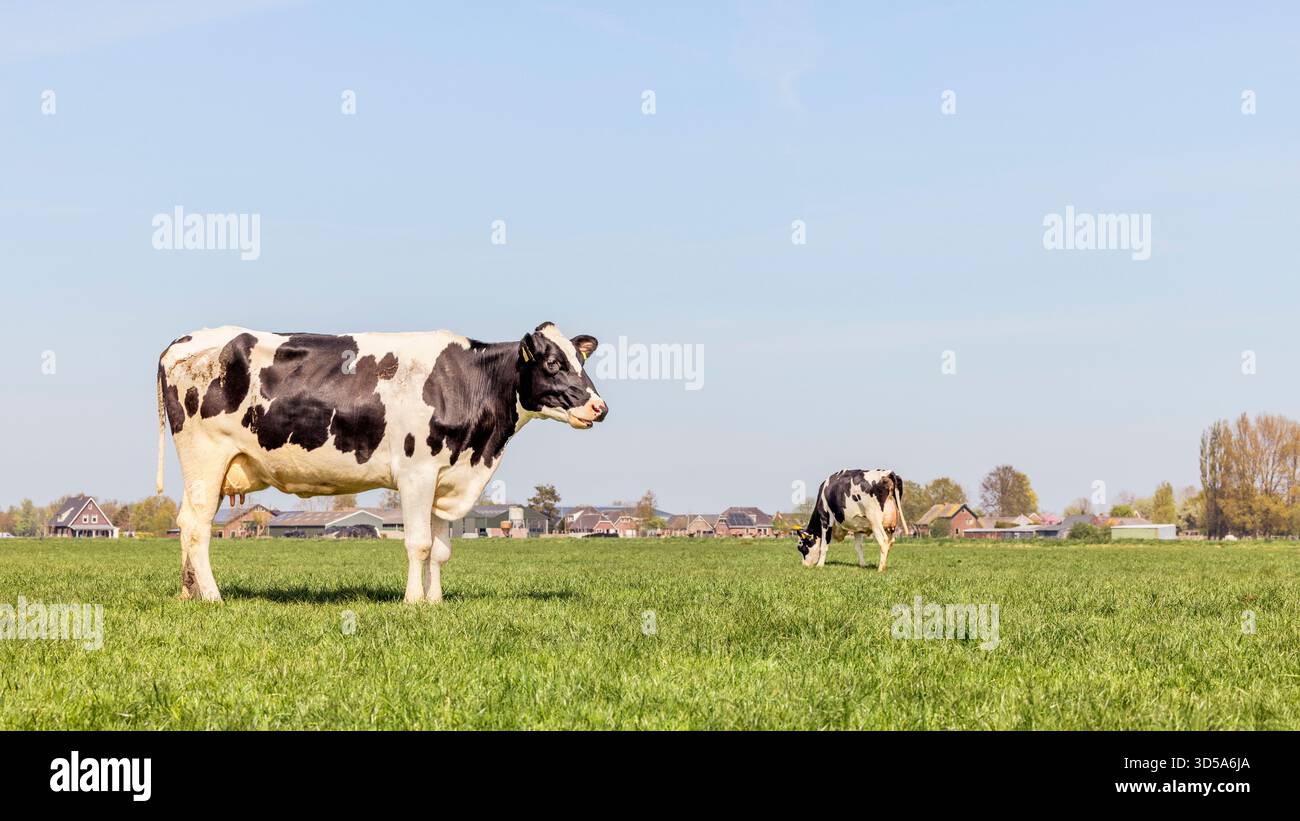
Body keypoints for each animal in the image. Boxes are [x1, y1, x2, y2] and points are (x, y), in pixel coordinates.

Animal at [156, 322, 607, 603]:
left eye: (581, 362)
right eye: (553, 363)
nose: (599, 407)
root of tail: (182, 341)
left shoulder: (445, 477)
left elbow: (441, 550)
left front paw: (435, 601)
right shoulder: (416, 473)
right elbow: (419, 543)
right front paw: (413, 602)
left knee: (186, 523)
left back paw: (188, 592)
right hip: (206, 457)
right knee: (196, 527)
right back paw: (213, 596)